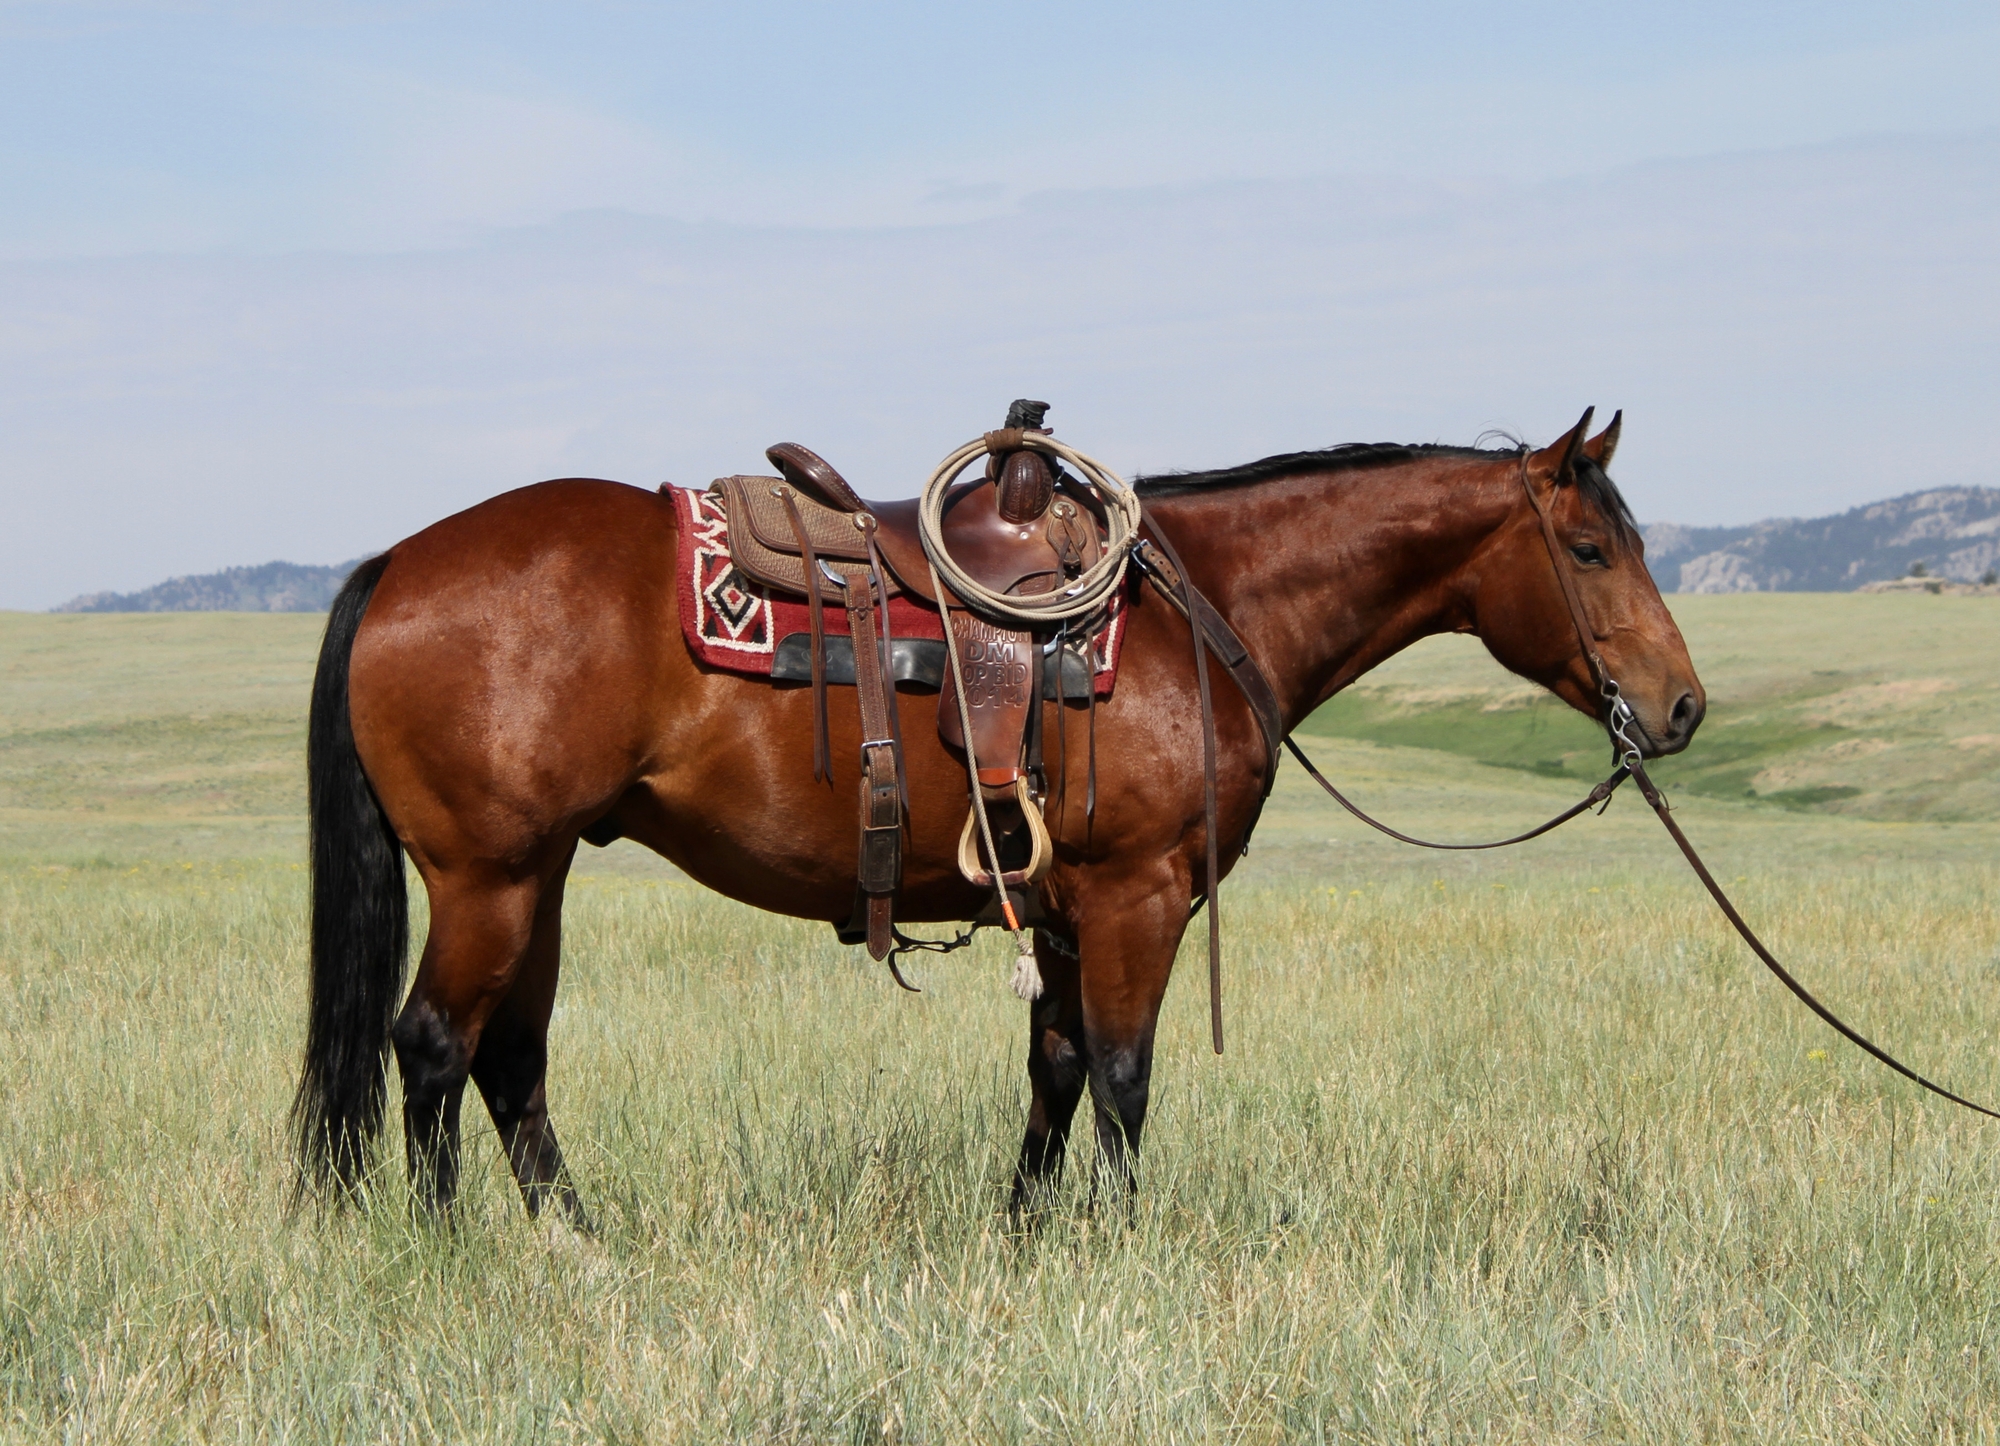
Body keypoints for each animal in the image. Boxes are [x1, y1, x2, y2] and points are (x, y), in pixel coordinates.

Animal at [292, 409, 1705, 1222]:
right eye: (1590, 551)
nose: (1680, 706)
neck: (1209, 610)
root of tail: (399, 563)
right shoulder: (1139, 891)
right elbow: (1125, 1077)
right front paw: (1121, 1248)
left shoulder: (1069, 902)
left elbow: (1059, 1068)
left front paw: (1026, 1235)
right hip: (489, 877)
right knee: (432, 1047)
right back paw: (448, 1246)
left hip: (537, 879)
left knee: (508, 1062)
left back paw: (577, 1242)